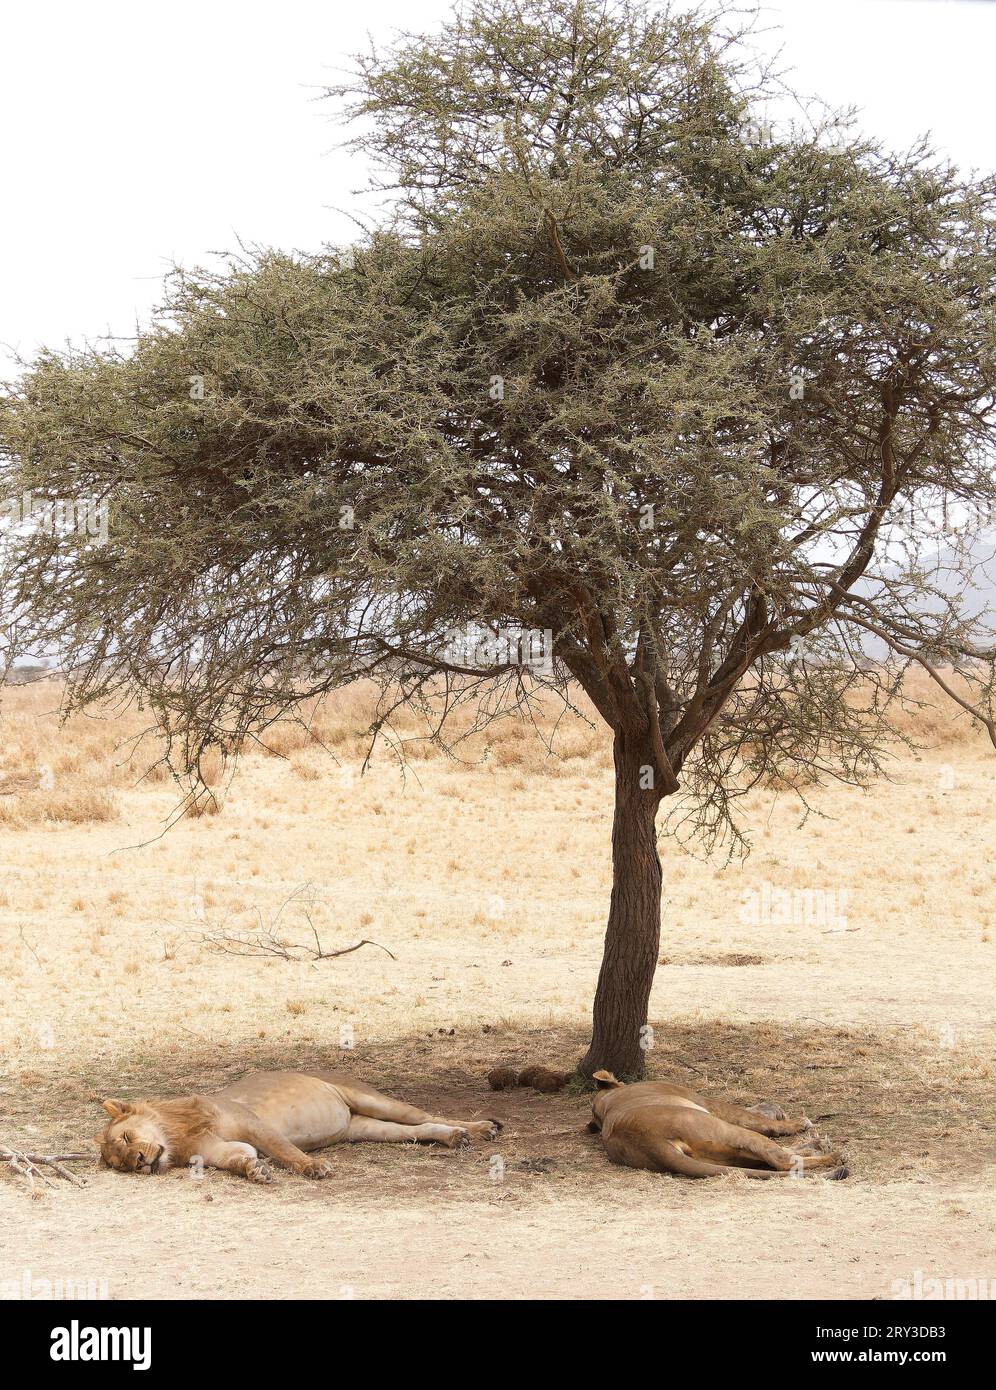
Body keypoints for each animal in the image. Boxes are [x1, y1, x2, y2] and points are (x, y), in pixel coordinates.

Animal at [96, 1069, 501, 1182]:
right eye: (118, 1162)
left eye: (128, 1137)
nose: (138, 1162)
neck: (178, 1136)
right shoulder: (217, 1151)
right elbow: (238, 1159)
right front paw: (254, 1171)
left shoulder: (253, 1123)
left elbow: (285, 1151)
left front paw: (313, 1167)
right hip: (365, 1128)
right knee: (419, 1131)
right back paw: (455, 1138)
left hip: (370, 1098)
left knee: (427, 1115)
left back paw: (480, 1129)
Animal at [587, 1071, 848, 1179]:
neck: (605, 1105)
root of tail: (649, 1142)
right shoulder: (702, 1100)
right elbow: (747, 1113)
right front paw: (794, 1121)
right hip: (722, 1129)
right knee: (780, 1159)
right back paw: (834, 1156)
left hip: (724, 1155)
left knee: (774, 1157)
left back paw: (818, 1146)